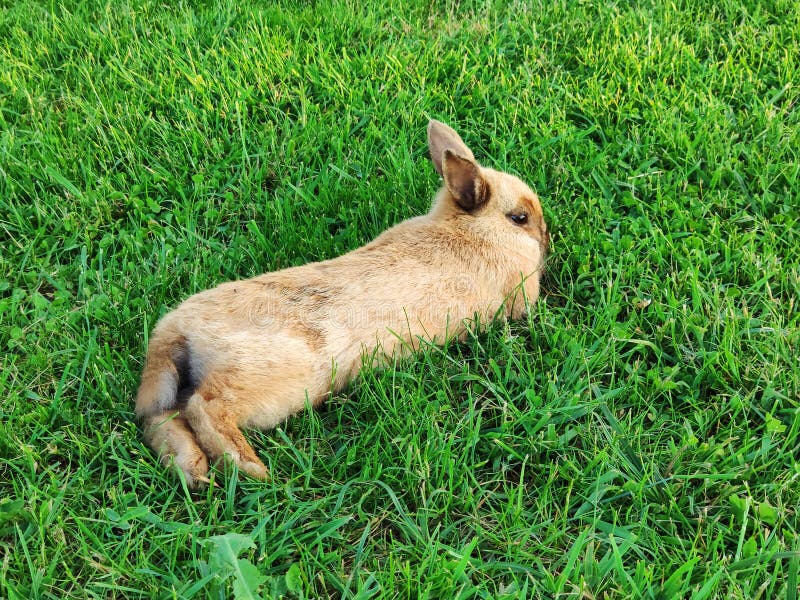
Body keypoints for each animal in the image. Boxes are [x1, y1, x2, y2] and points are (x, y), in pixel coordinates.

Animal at [135, 120, 549, 486]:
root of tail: (176, 331)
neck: (470, 230)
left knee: (161, 418)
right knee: (205, 408)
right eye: (519, 217)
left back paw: (194, 473)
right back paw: (252, 470)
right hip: (271, 379)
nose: (547, 238)